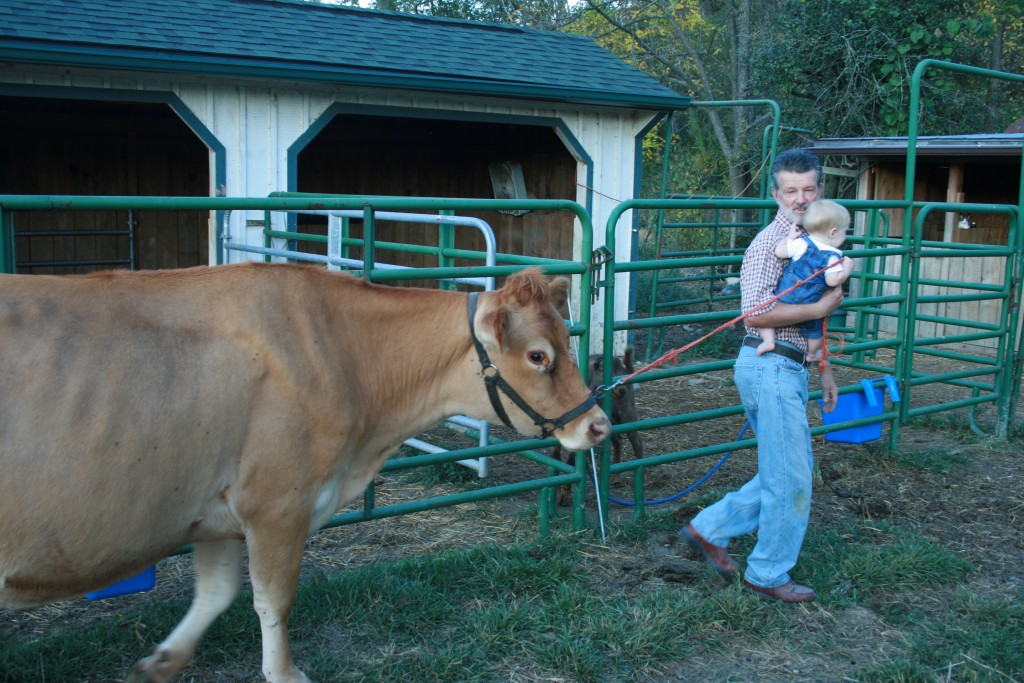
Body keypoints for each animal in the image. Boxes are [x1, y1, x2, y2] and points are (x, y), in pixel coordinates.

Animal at [0, 263, 610, 683]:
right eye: (537, 356)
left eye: (567, 341)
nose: (599, 425)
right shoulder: (277, 504)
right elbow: (273, 600)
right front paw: (285, 672)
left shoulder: (216, 512)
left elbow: (217, 593)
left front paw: (163, 661)